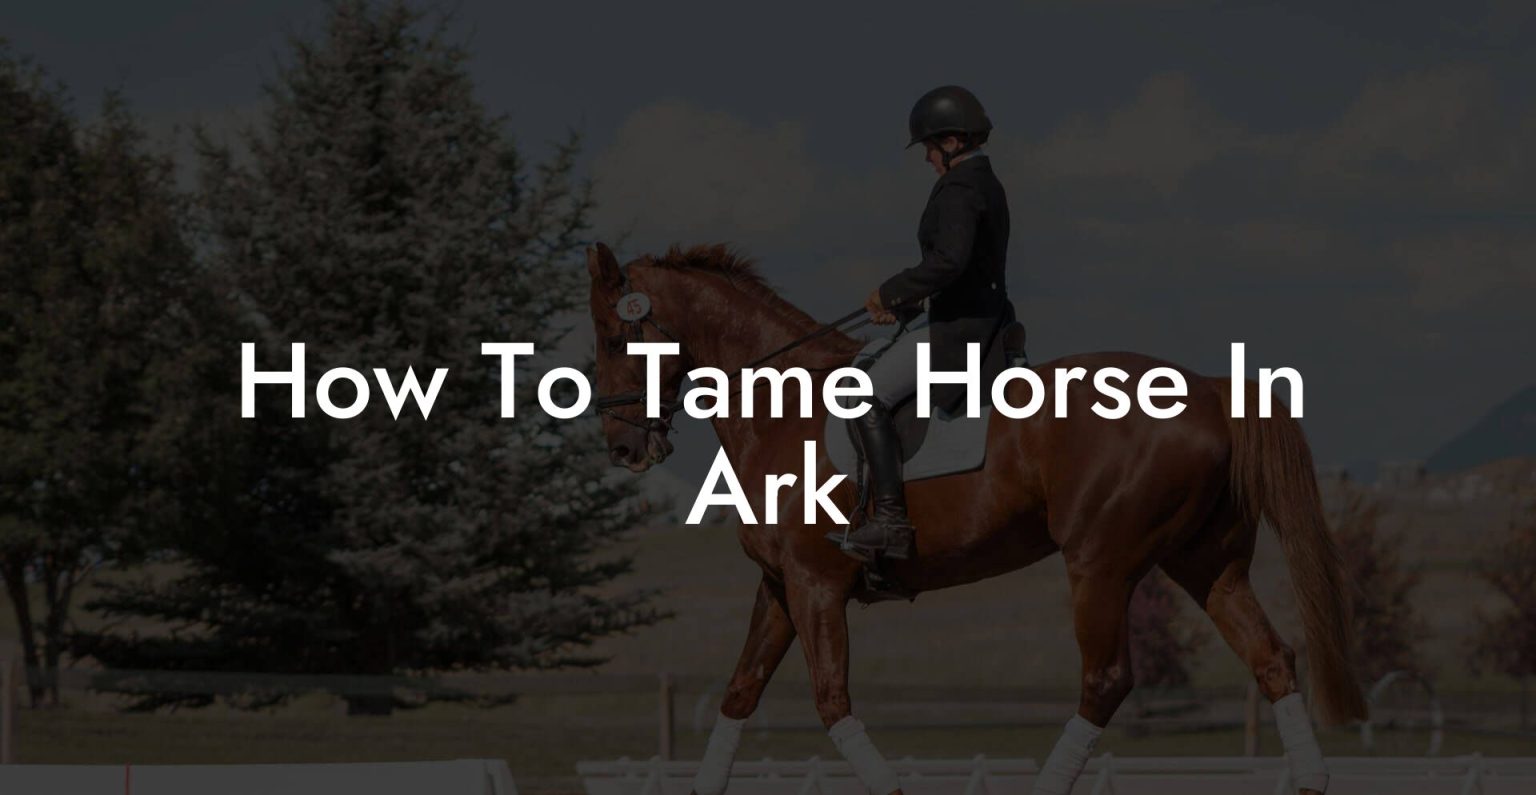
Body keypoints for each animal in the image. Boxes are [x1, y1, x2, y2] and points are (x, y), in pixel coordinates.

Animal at [584, 242, 1365, 795]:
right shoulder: (781, 586)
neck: (781, 401)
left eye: (617, 338)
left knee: (1106, 680)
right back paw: (1309, 779)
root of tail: (1207, 387)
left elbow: (832, 702)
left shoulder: (816, 587)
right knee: (1271, 657)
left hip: (1100, 563)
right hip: (1207, 562)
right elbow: (741, 692)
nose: (621, 448)